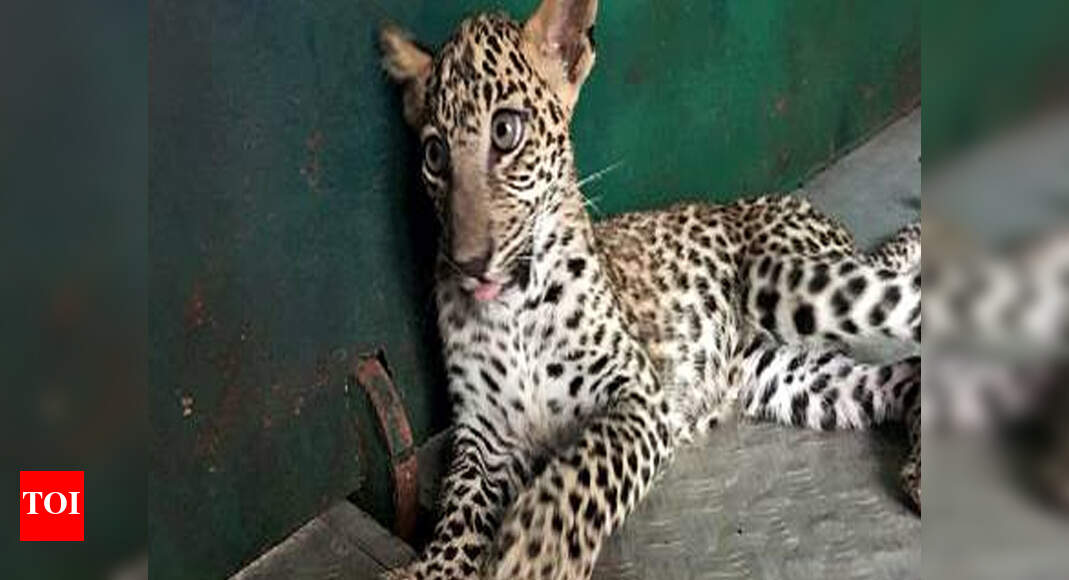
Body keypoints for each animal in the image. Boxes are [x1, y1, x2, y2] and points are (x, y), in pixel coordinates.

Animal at [379, 1, 921, 579]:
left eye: (505, 132)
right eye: (434, 155)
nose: (468, 262)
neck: (514, 307)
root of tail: (818, 217)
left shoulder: (638, 396)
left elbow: (583, 469)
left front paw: (535, 547)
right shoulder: (483, 434)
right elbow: (458, 513)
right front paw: (429, 567)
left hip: (791, 281)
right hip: (788, 375)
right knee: (902, 375)